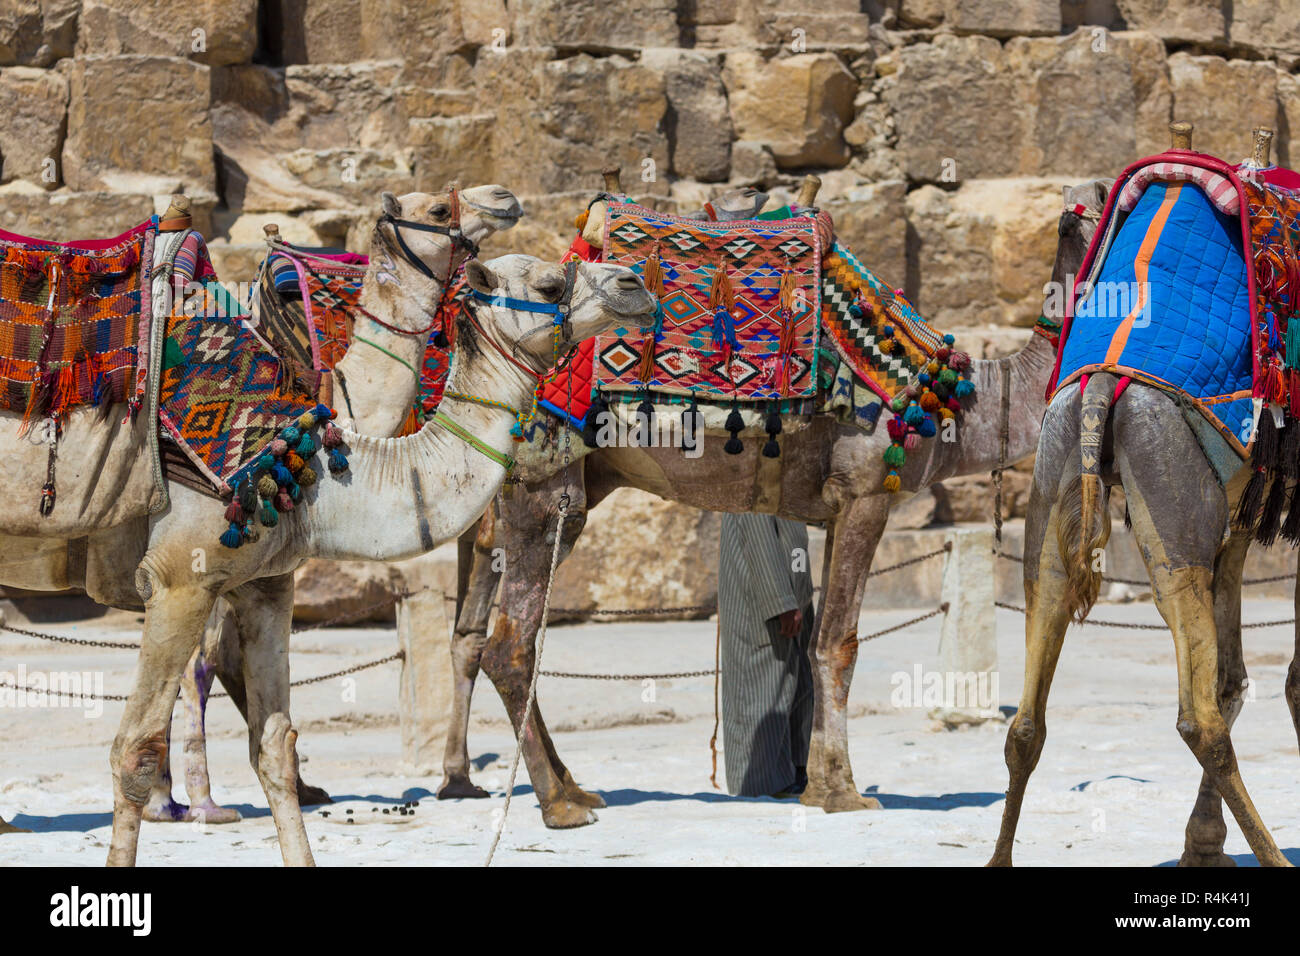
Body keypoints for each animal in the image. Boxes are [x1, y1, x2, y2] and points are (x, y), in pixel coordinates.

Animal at [435, 176, 1110, 828]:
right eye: (1104, 196)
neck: (958, 402)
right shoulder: (868, 492)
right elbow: (840, 644)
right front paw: (843, 792)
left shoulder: (838, 509)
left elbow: (819, 640)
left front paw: (817, 786)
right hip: (546, 491)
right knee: (509, 645)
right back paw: (559, 804)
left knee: (480, 634)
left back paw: (559, 786)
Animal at [988, 124, 1292, 866]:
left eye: (1073, 226)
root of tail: (1103, 382)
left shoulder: (1237, 521)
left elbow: (1235, 673)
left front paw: (1203, 845)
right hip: (1171, 493)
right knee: (1199, 720)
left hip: (1059, 484)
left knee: (1027, 722)